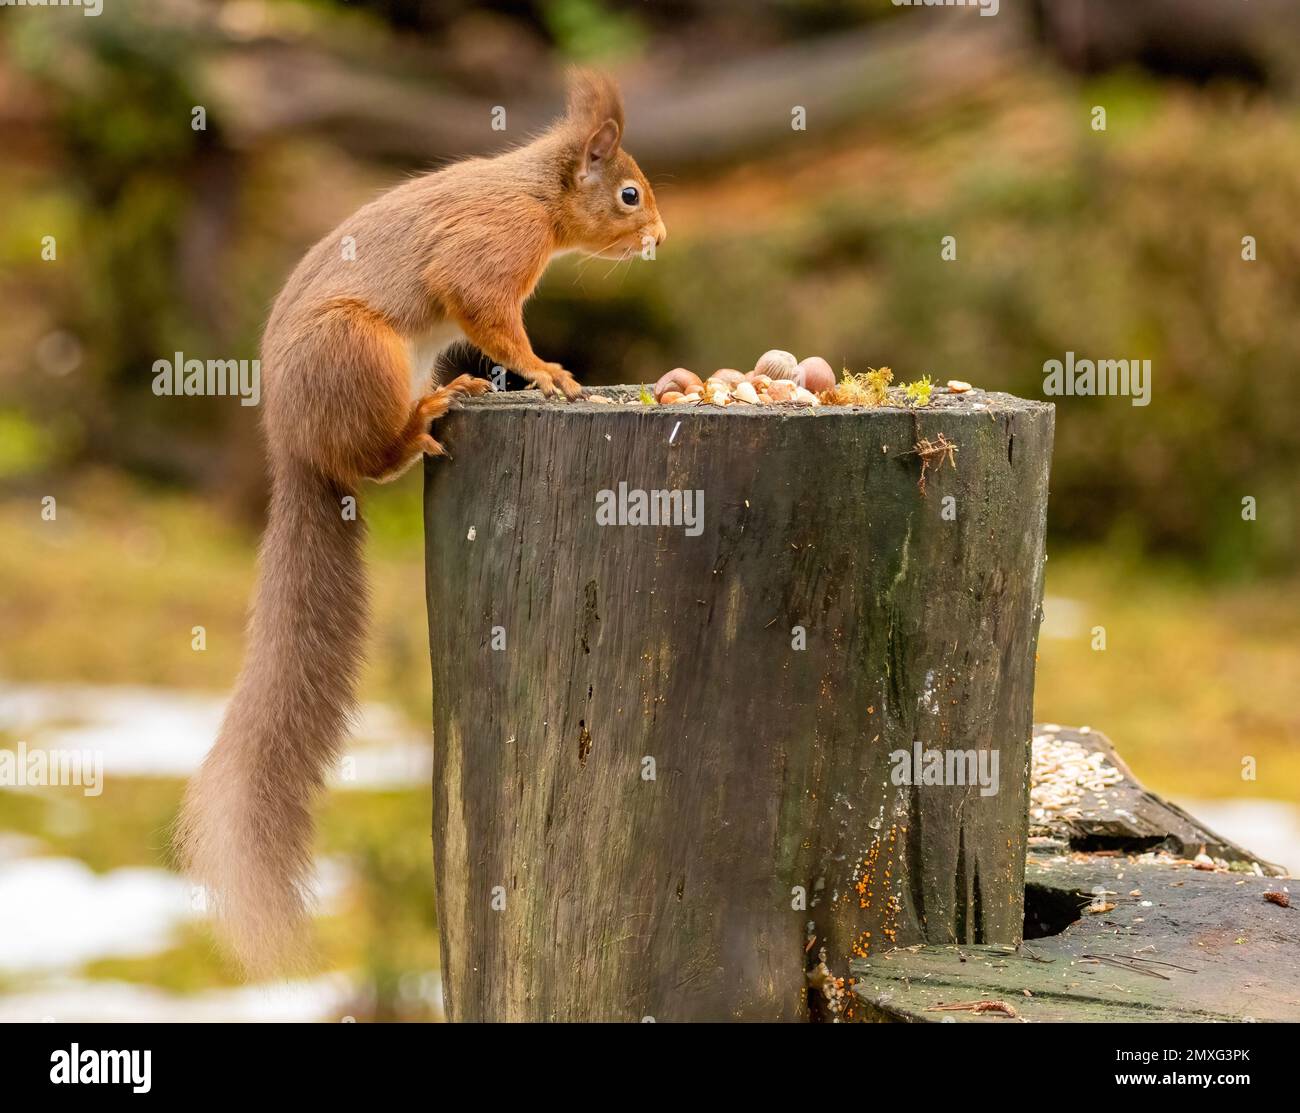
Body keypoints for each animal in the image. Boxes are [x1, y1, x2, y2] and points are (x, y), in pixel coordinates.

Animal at [177, 70, 666, 974]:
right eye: (627, 194)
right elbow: (489, 314)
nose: (659, 236)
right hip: (359, 351)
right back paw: (429, 416)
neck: (533, 194)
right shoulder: (487, 254)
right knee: (379, 457)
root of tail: (293, 445)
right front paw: (548, 372)